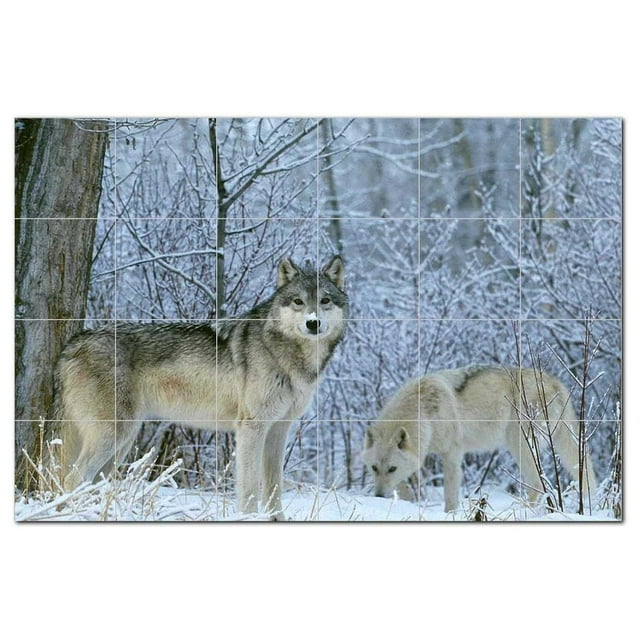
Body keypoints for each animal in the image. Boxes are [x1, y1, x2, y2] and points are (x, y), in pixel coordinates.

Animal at [52, 255, 348, 519]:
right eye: (298, 301)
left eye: (325, 300)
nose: (313, 323)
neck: (286, 353)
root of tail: (72, 344)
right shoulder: (251, 427)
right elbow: (250, 487)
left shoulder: (278, 429)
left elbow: (274, 488)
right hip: (114, 435)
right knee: (72, 478)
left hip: (122, 443)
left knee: (90, 481)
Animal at [361, 366, 597, 512]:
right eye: (374, 468)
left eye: (391, 468)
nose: (378, 496)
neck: (425, 413)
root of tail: (555, 382)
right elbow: (404, 486)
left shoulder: (452, 454)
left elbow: (450, 494)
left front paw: (450, 514)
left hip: (520, 445)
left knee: (538, 484)